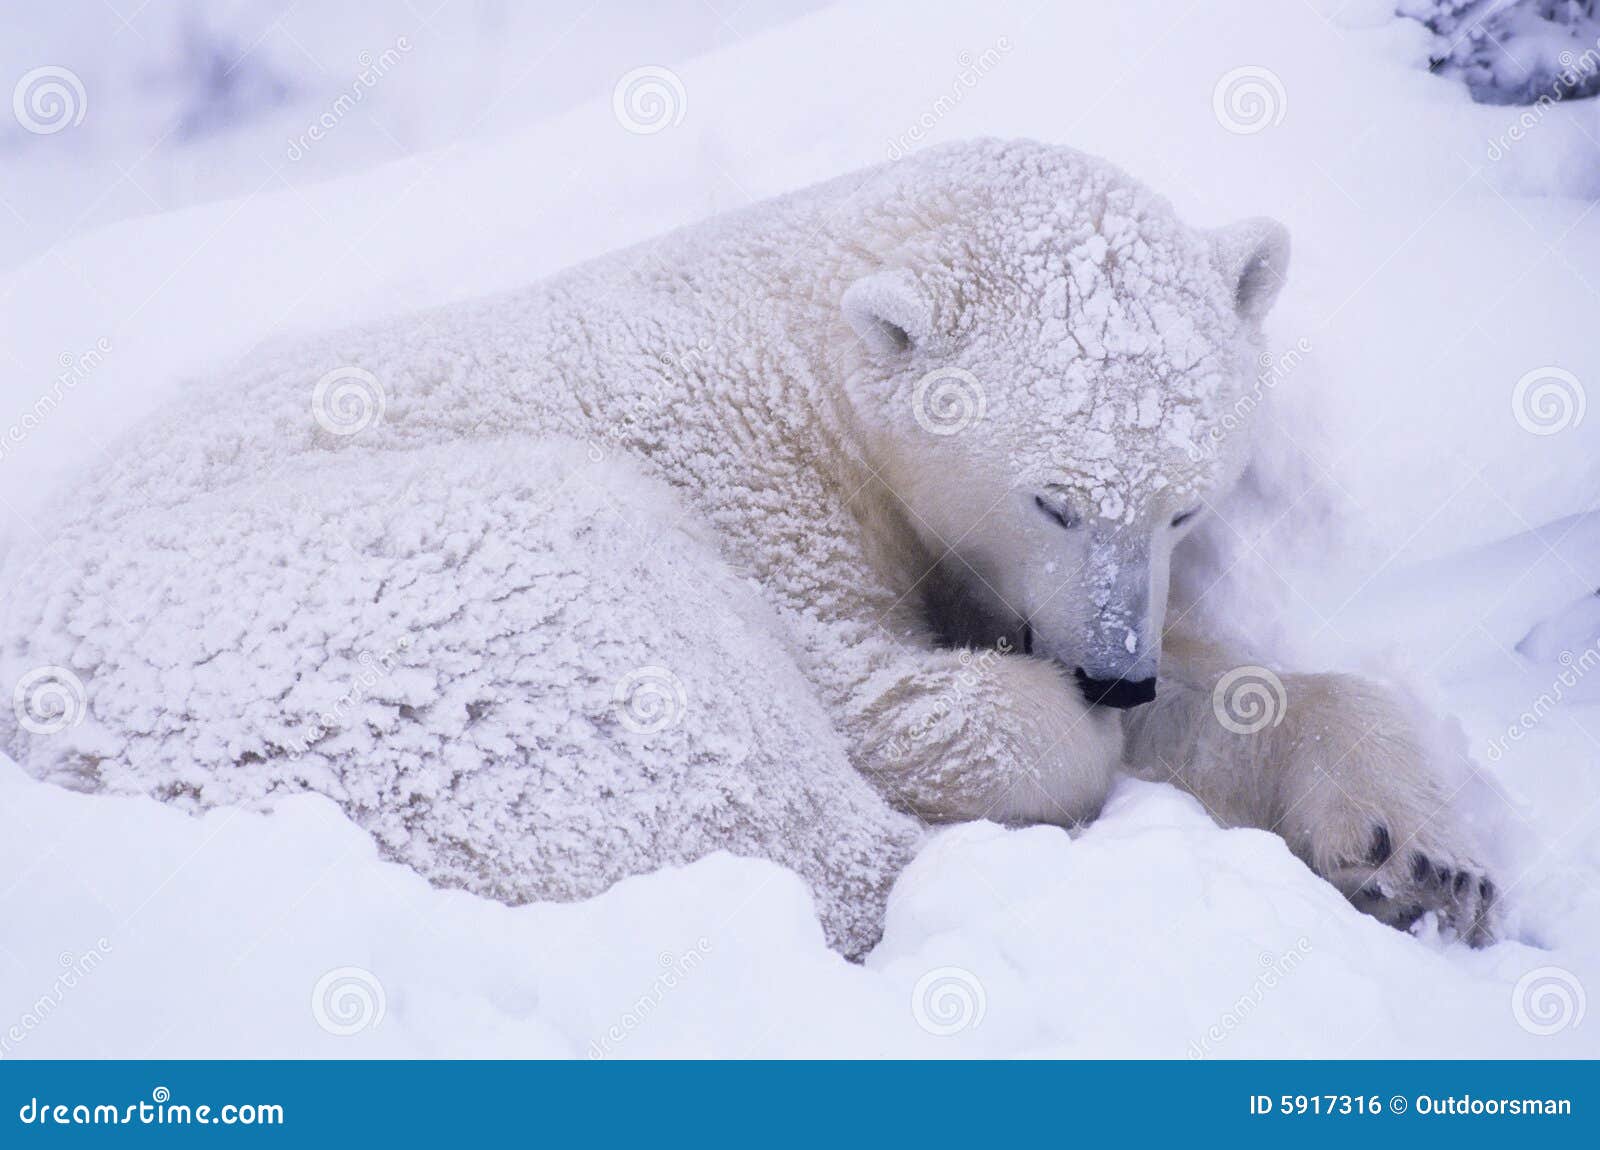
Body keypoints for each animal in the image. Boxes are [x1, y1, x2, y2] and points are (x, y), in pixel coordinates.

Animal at [0, 138, 1494, 955]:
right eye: (1050, 499)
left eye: (1187, 499)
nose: (1111, 669)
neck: (800, 347)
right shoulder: (747, 485)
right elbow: (880, 678)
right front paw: (1063, 720)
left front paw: (1419, 852)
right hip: (402, 622)